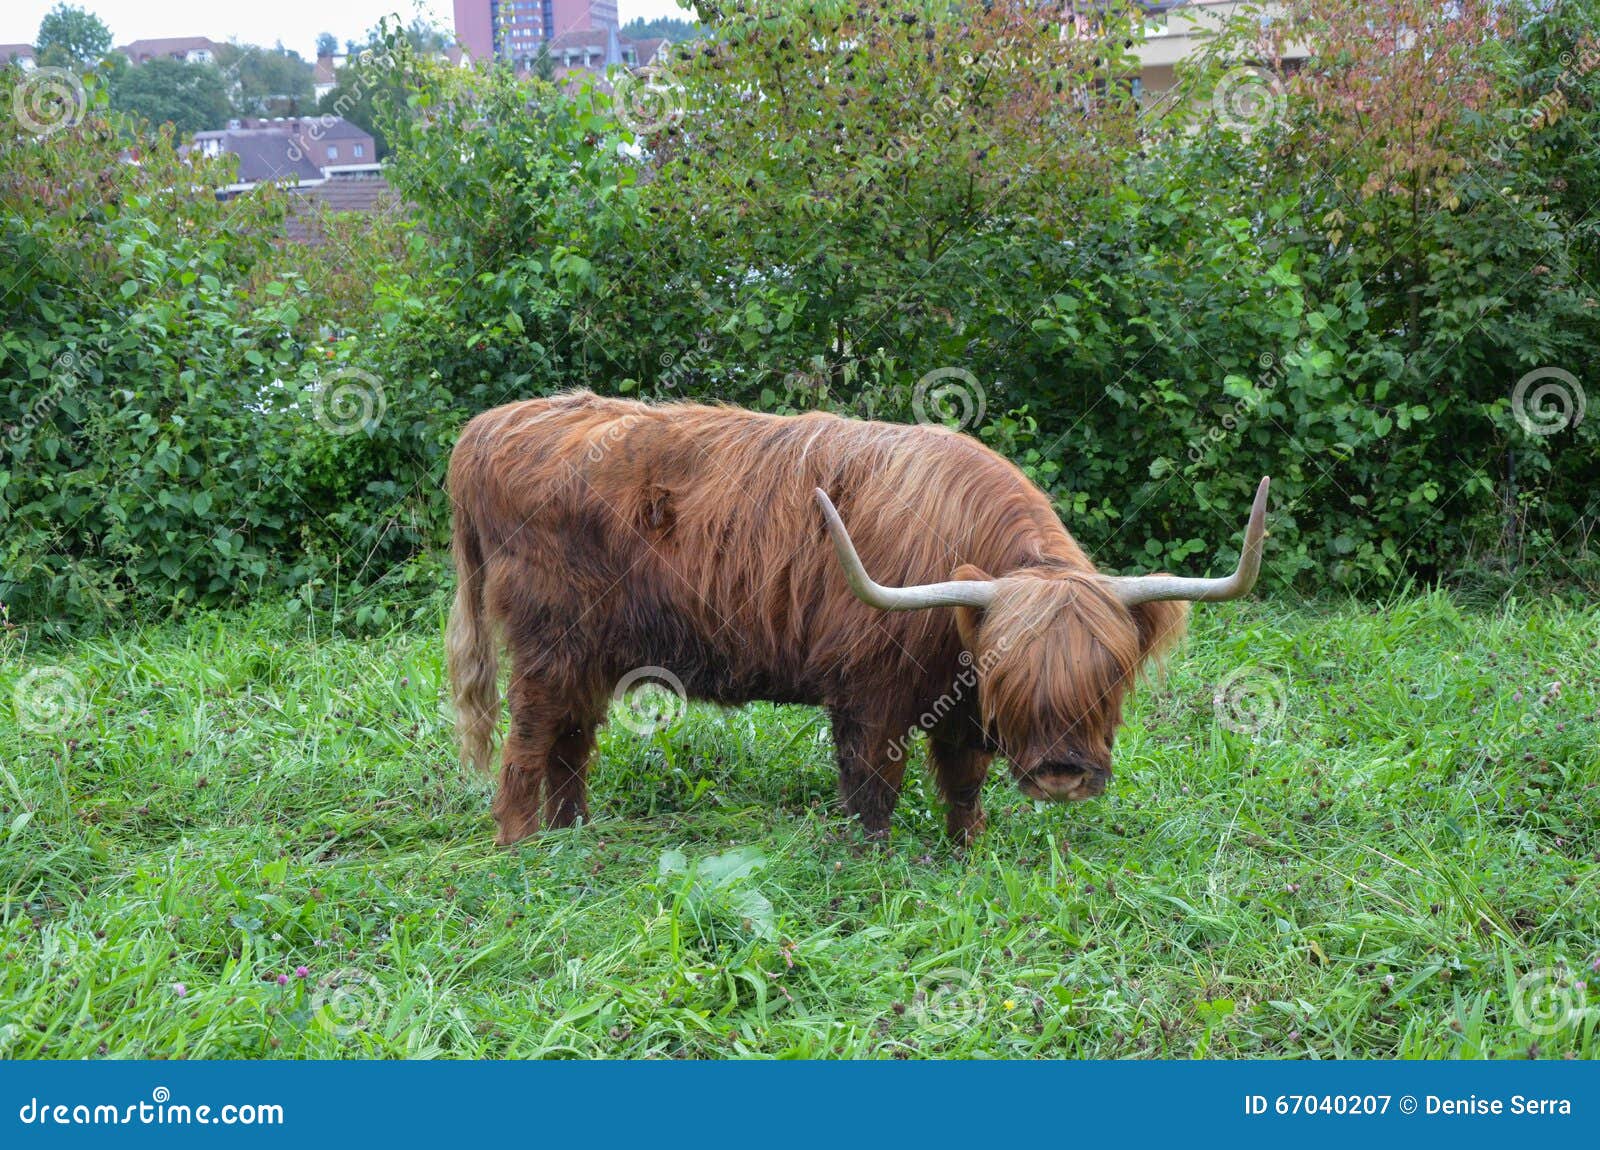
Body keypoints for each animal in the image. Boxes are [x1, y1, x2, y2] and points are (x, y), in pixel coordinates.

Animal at [447, 390, 1268, 845]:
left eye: (1113, 673)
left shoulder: (956, 702)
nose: (1063, 776)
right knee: (530, 741)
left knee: (571, 742)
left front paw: (968, 849)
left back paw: (574, 832)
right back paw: (522, 846)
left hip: (592, 653)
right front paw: (873, 859)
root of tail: (490, 428)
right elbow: (874, 784)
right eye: (1010, 673)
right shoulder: (869, 692)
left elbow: (963, 781)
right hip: (548, 646)